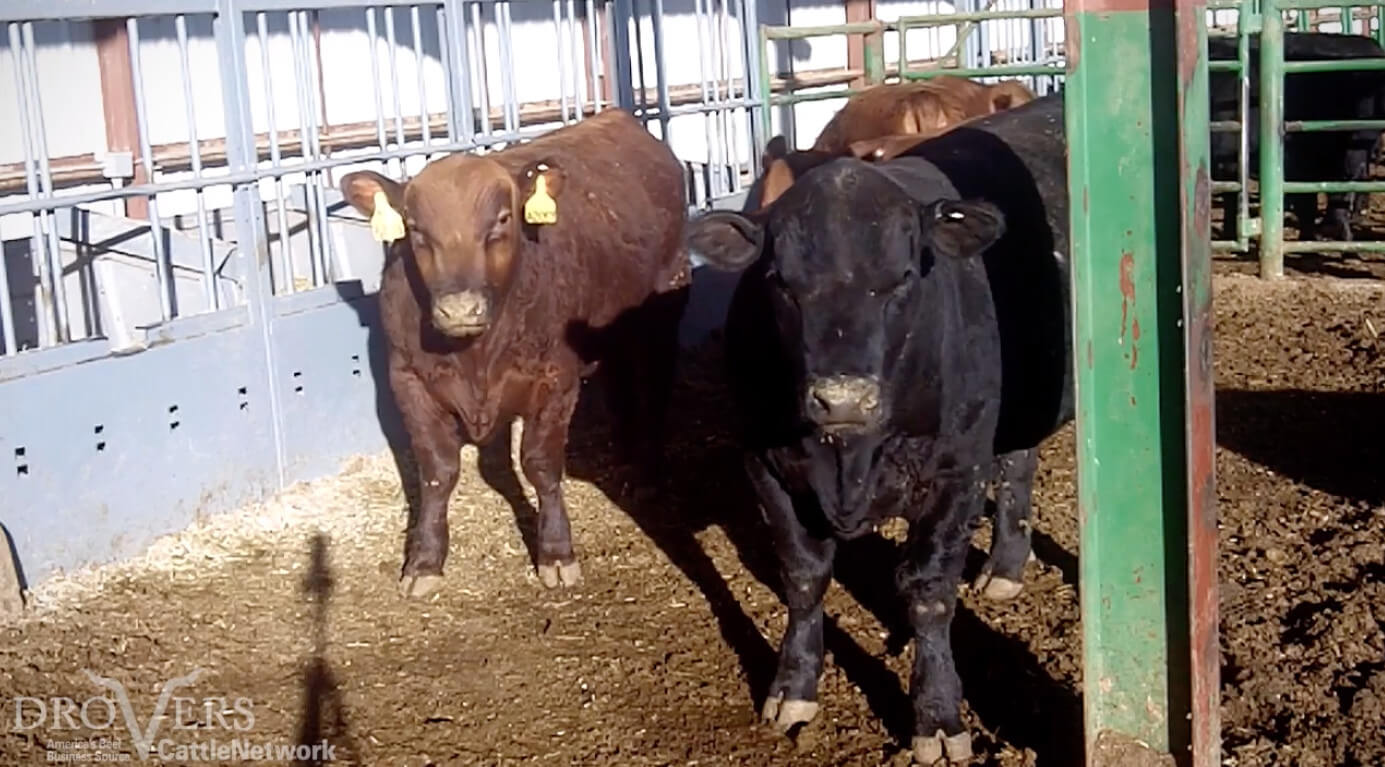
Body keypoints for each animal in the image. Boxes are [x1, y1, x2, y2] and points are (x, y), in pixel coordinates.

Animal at [339, 109, 690, 598]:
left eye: (502, 221)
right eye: (417, 230)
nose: (459, 307)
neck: (475, 355)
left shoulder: (555, 380)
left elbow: (540, 465)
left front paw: (556, 553)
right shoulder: (409, 383)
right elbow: (436, 471)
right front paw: (424, 561)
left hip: (665, 306)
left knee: (655, 388)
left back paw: (648, 475)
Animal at [683, 92, 1071, 763]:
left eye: (903, 280)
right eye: (781, 282)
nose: (843, 398)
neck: (850, 460)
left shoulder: (956, 471)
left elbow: (929, 592)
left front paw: (938, 718)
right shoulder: (766, 468)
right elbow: (804, 579)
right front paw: (792, 689)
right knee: (1019, 462)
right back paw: (1004, 569)